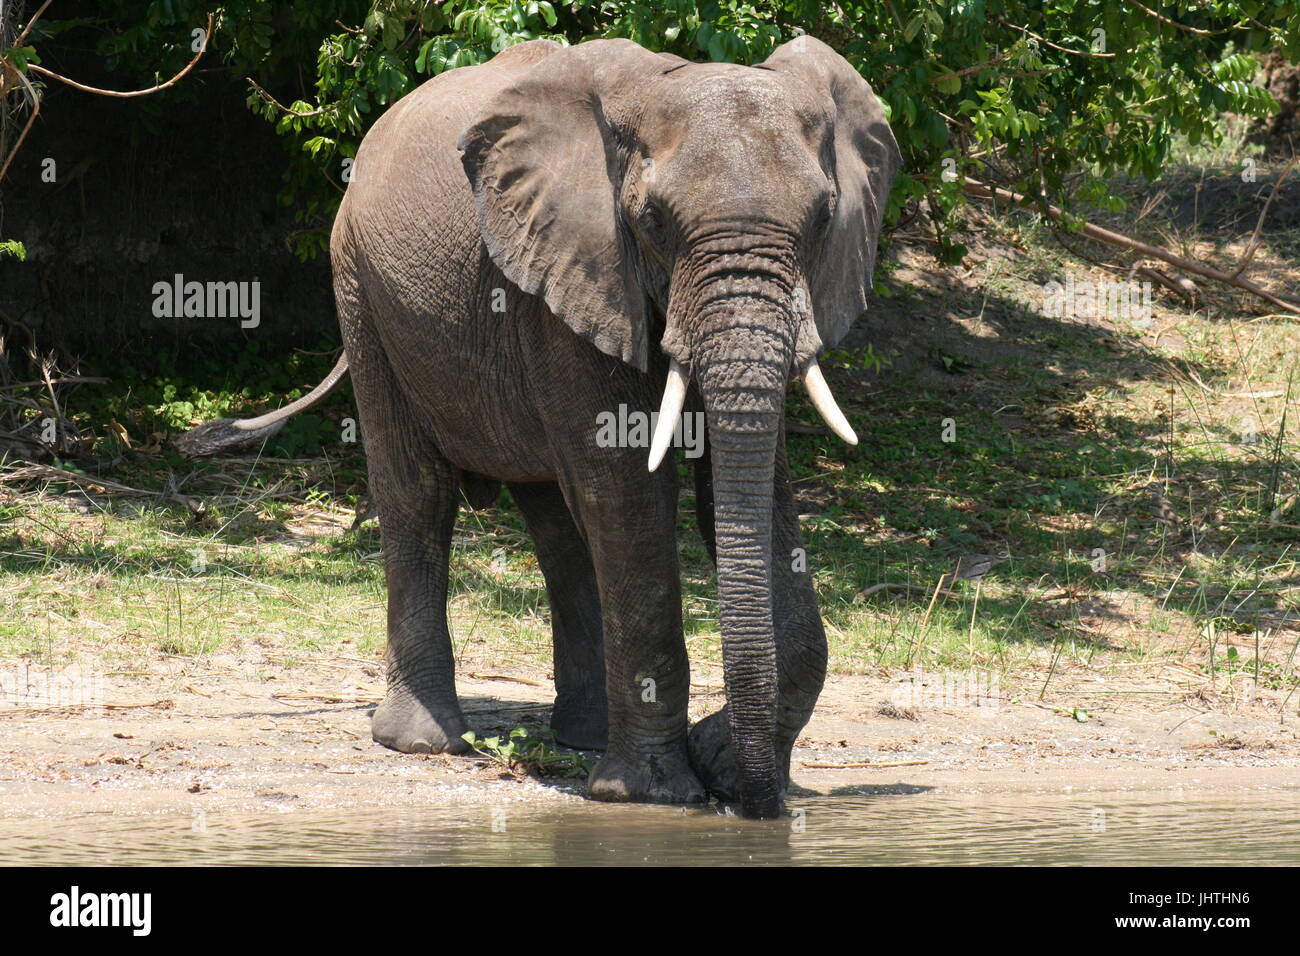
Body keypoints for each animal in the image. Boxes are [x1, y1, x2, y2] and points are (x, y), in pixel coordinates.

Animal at [178, 35, 899, 819]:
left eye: (823, 220)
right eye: (653, 221)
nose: (761, 809)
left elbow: (752, 490)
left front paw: (718, 760)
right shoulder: (576, 271)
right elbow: (628, 490)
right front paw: (653, 793)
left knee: (556, 522)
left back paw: (583, 736)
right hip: (359, 289)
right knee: (417, 492)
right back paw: (423, 742)